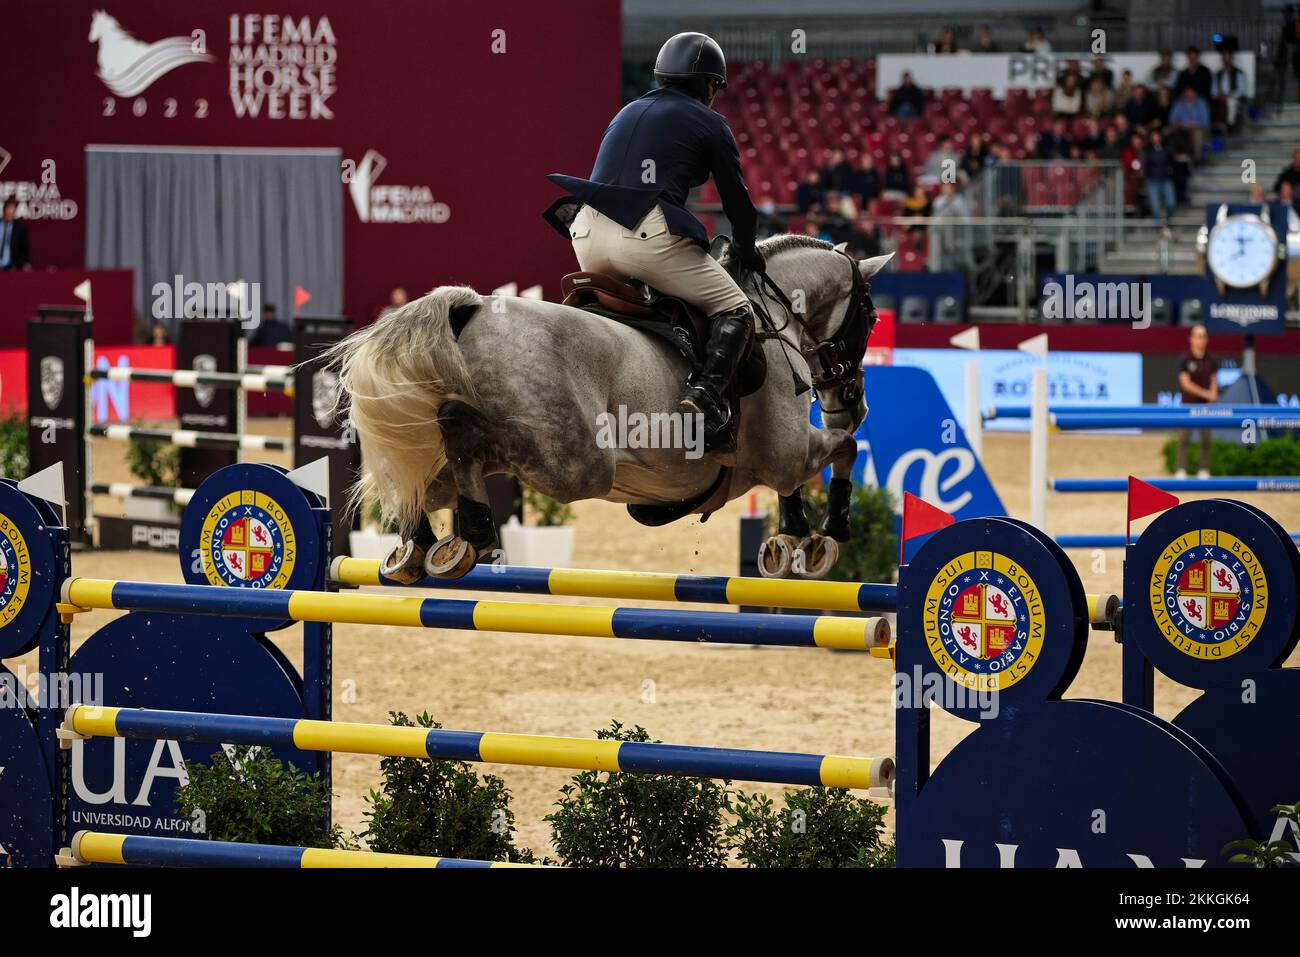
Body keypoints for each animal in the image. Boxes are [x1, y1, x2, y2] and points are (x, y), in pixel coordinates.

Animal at [328, 235, 890, 582]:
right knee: (460, 437)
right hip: (573, 464)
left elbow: (818, 464)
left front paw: (792, 538)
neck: (771, 317)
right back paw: (475, 536)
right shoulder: (785, 452)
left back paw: (422, 543)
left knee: (428, 477)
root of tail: (473, 306)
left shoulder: (781, 457)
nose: (852, 405)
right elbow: (843, 450)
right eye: (870, 318)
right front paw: (825, 534)